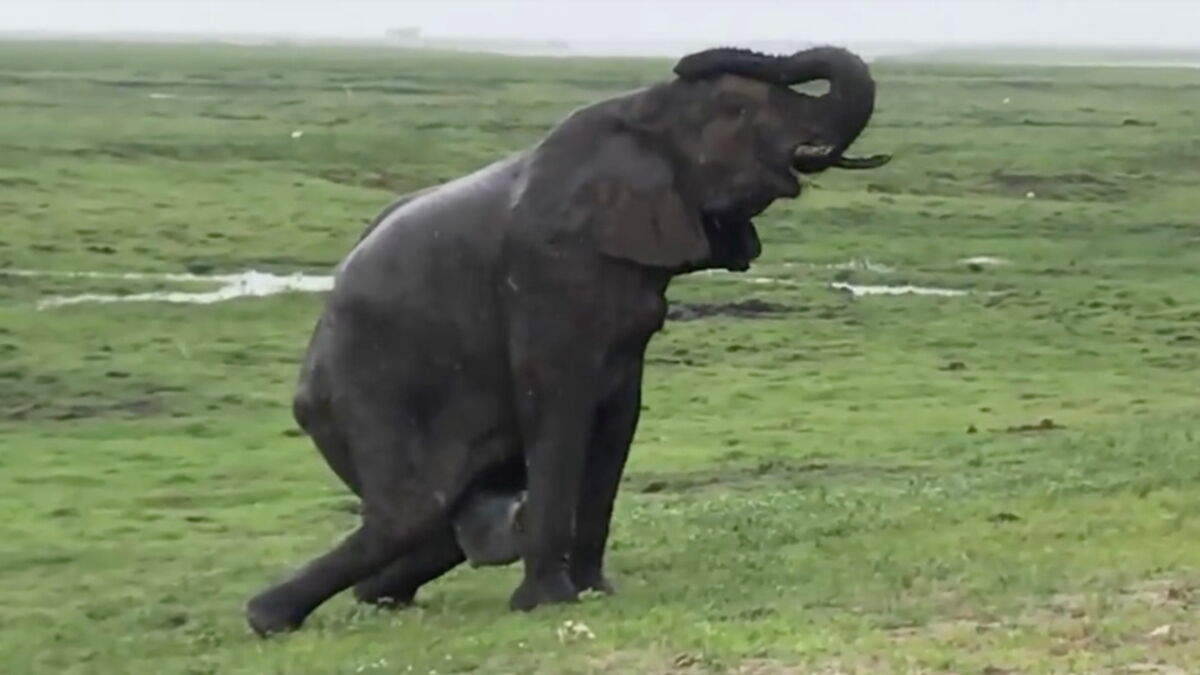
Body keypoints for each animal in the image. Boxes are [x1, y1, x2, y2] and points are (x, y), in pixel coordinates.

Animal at [244, 44, 891, 636]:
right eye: (738, 109)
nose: (686, 60)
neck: (640, 113)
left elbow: (617, 421)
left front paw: (596, 591)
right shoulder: (545, 275)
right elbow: (559, 410)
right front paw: (549, 604)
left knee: (445, 525)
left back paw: (379, 596)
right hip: (361, 386)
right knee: (413, 510)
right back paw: (268, 618)